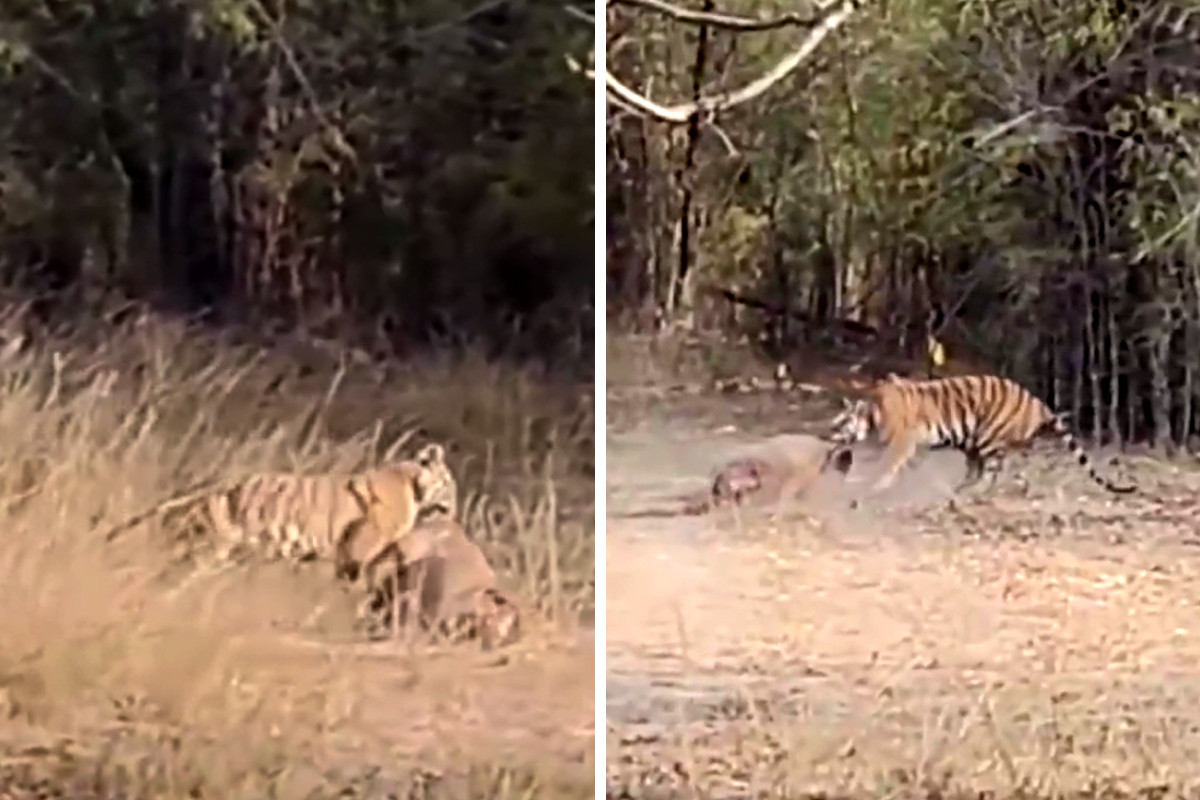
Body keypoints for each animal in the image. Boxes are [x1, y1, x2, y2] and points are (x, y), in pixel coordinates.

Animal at [100, 442, 459, 568]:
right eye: (450, 486)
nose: (455, 510)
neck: (412, 484)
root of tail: (208, 486)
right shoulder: (367, 546)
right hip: (211, 544)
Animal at [827, 373, 1136, 495]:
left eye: (838, 424)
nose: (828, 437)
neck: (873, 412)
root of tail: (1037, 401)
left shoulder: (902, 441)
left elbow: (885, 467)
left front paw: (871, 486)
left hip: (987, 436)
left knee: (991, 473)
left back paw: (972, 493)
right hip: (975, 441)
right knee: (998, 470)